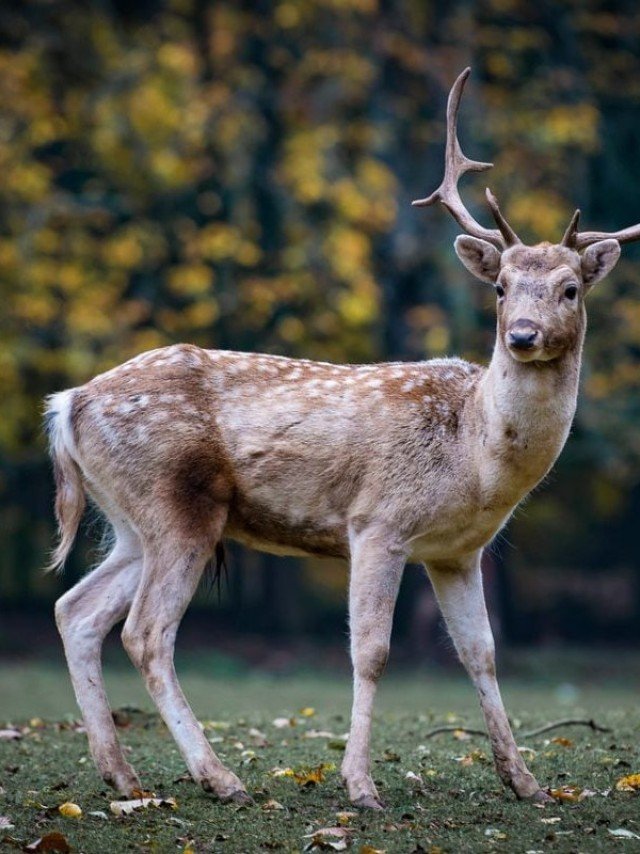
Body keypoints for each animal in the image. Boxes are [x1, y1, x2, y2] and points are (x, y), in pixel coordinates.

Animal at [46, 67, 640, 811]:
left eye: (569, 290)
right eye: (501, 287)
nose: (523, 336)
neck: (474, 457)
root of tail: (67, 403)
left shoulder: (458, 552)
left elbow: (482, 652)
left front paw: (525, 781)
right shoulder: (377, 521)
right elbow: (372, 651)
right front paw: (360, 786)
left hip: (131, 520)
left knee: (77, 609)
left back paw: (121, 775)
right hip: (175, 503)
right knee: (146, 632)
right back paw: (220, 778)